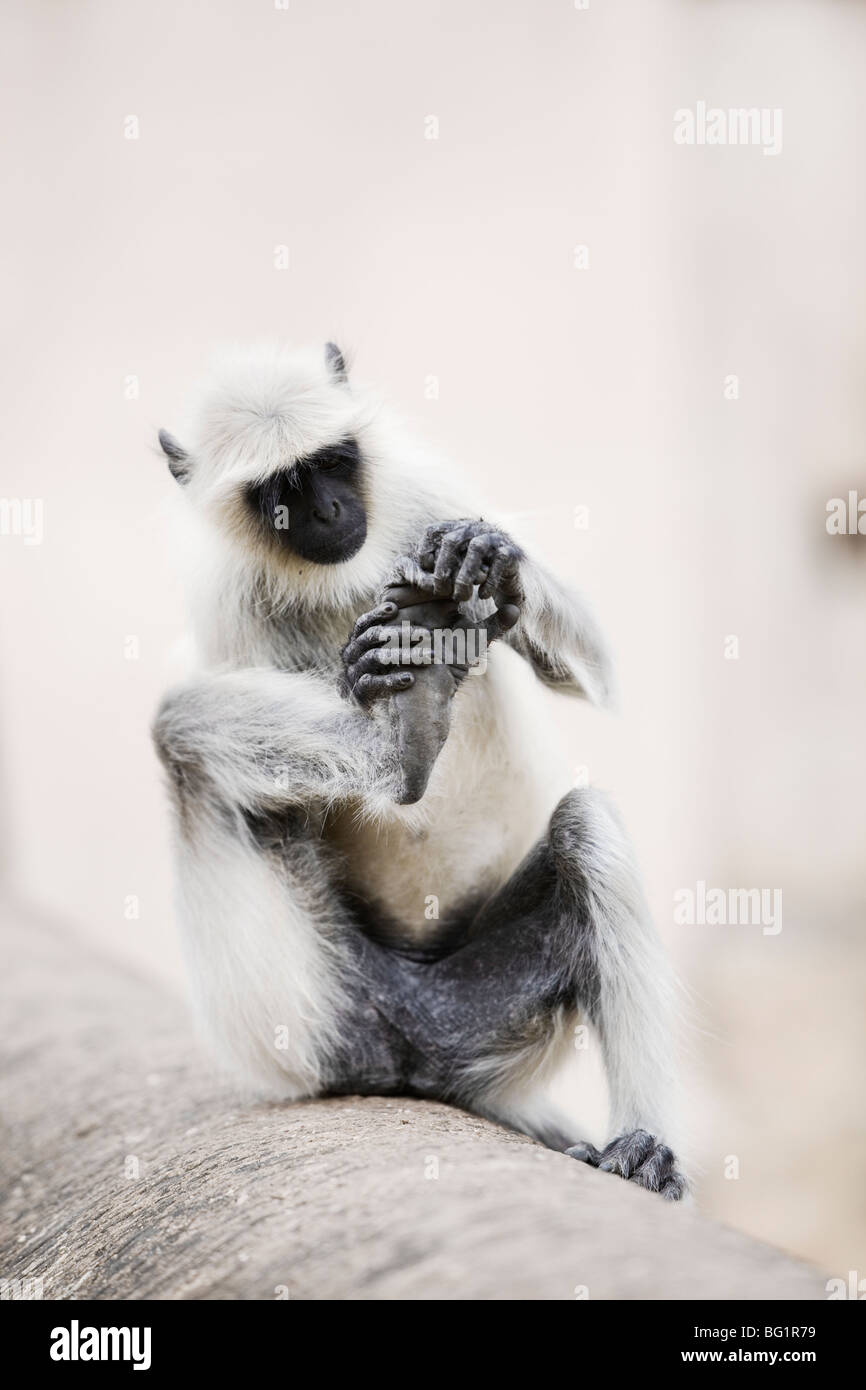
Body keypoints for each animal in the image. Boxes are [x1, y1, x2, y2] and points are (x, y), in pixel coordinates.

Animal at [152, 341, 687, 1200]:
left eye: (333, 463)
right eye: (281, 493)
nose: (328, 514)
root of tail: (416, 1054)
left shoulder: (426, 495)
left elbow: (595, 671)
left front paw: (500, 565)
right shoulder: (229, 604)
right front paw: (372, 689)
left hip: (485, 1017)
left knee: (586, 826)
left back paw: (642, 1143)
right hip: (319, 1028)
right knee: (183, 730)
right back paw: (403, 744)